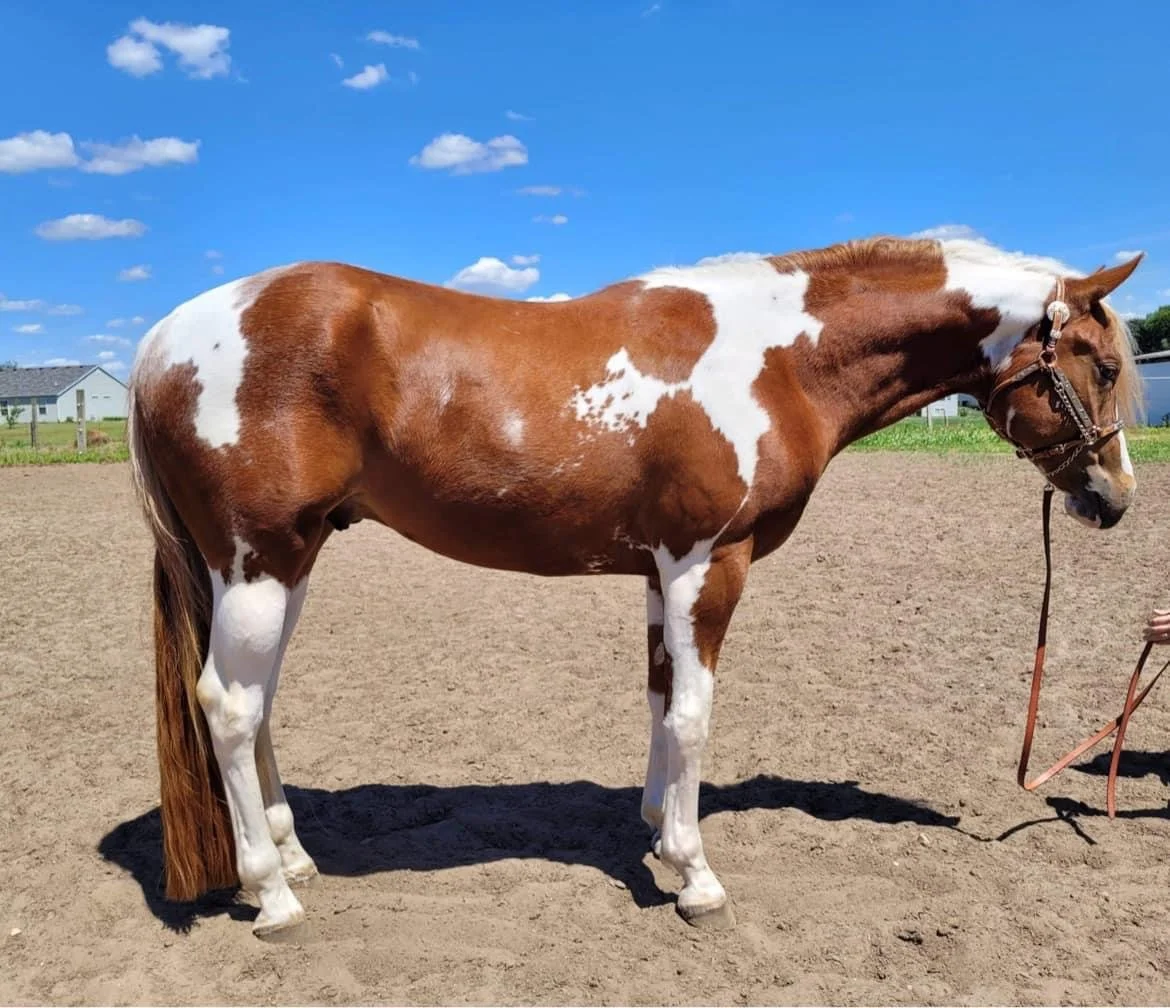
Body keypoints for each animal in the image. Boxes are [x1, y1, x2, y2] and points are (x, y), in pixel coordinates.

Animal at [126, 235, 1143, 939]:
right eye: (1099, 366)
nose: (1115, 500)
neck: (777, 359)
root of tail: (161, 342)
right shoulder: (708, 561)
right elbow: (693, 715)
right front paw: (696, 877)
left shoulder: (664, 571)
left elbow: (660, 699)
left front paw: (657, 829)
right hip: (257, 561)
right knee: (228, 704)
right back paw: (271, 896)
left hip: (284, 564)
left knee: (258, 703)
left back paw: (295, 858)